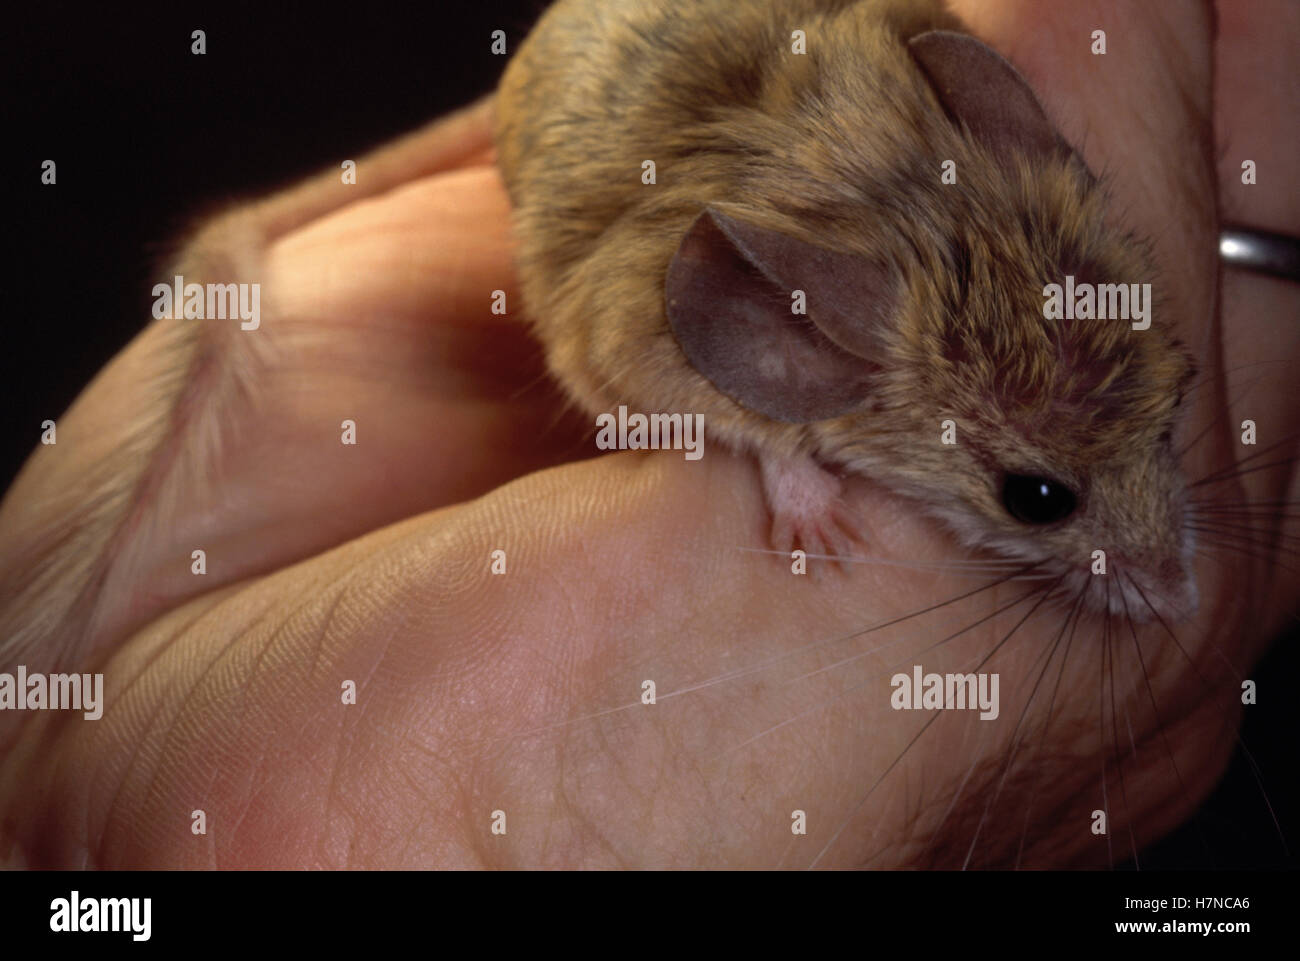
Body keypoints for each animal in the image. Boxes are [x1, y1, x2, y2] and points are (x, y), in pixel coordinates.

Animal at [494, 0, 1197, 622]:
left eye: (1181, 391)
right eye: (1037, 499)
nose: (1178, 602)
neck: (901, 201)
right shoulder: (634, 356)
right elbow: (764, 436)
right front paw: (823, 534)